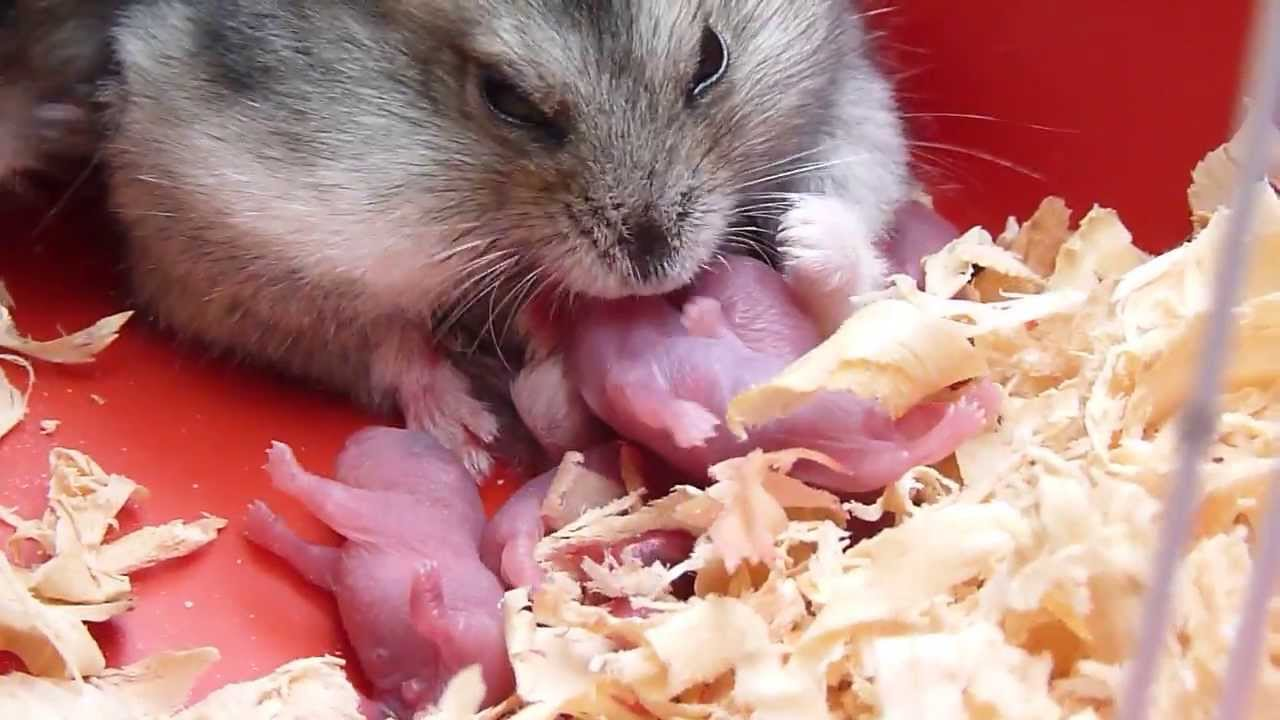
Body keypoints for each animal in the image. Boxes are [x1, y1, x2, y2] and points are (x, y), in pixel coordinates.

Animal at [98, 0, 912, 476]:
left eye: (711, 56)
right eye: (507, 99)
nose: (657, 268)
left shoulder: (855, 107)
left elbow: (858, 276)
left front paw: (802, 230)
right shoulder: (226, 246)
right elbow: (383, 337)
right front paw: (472, 438)